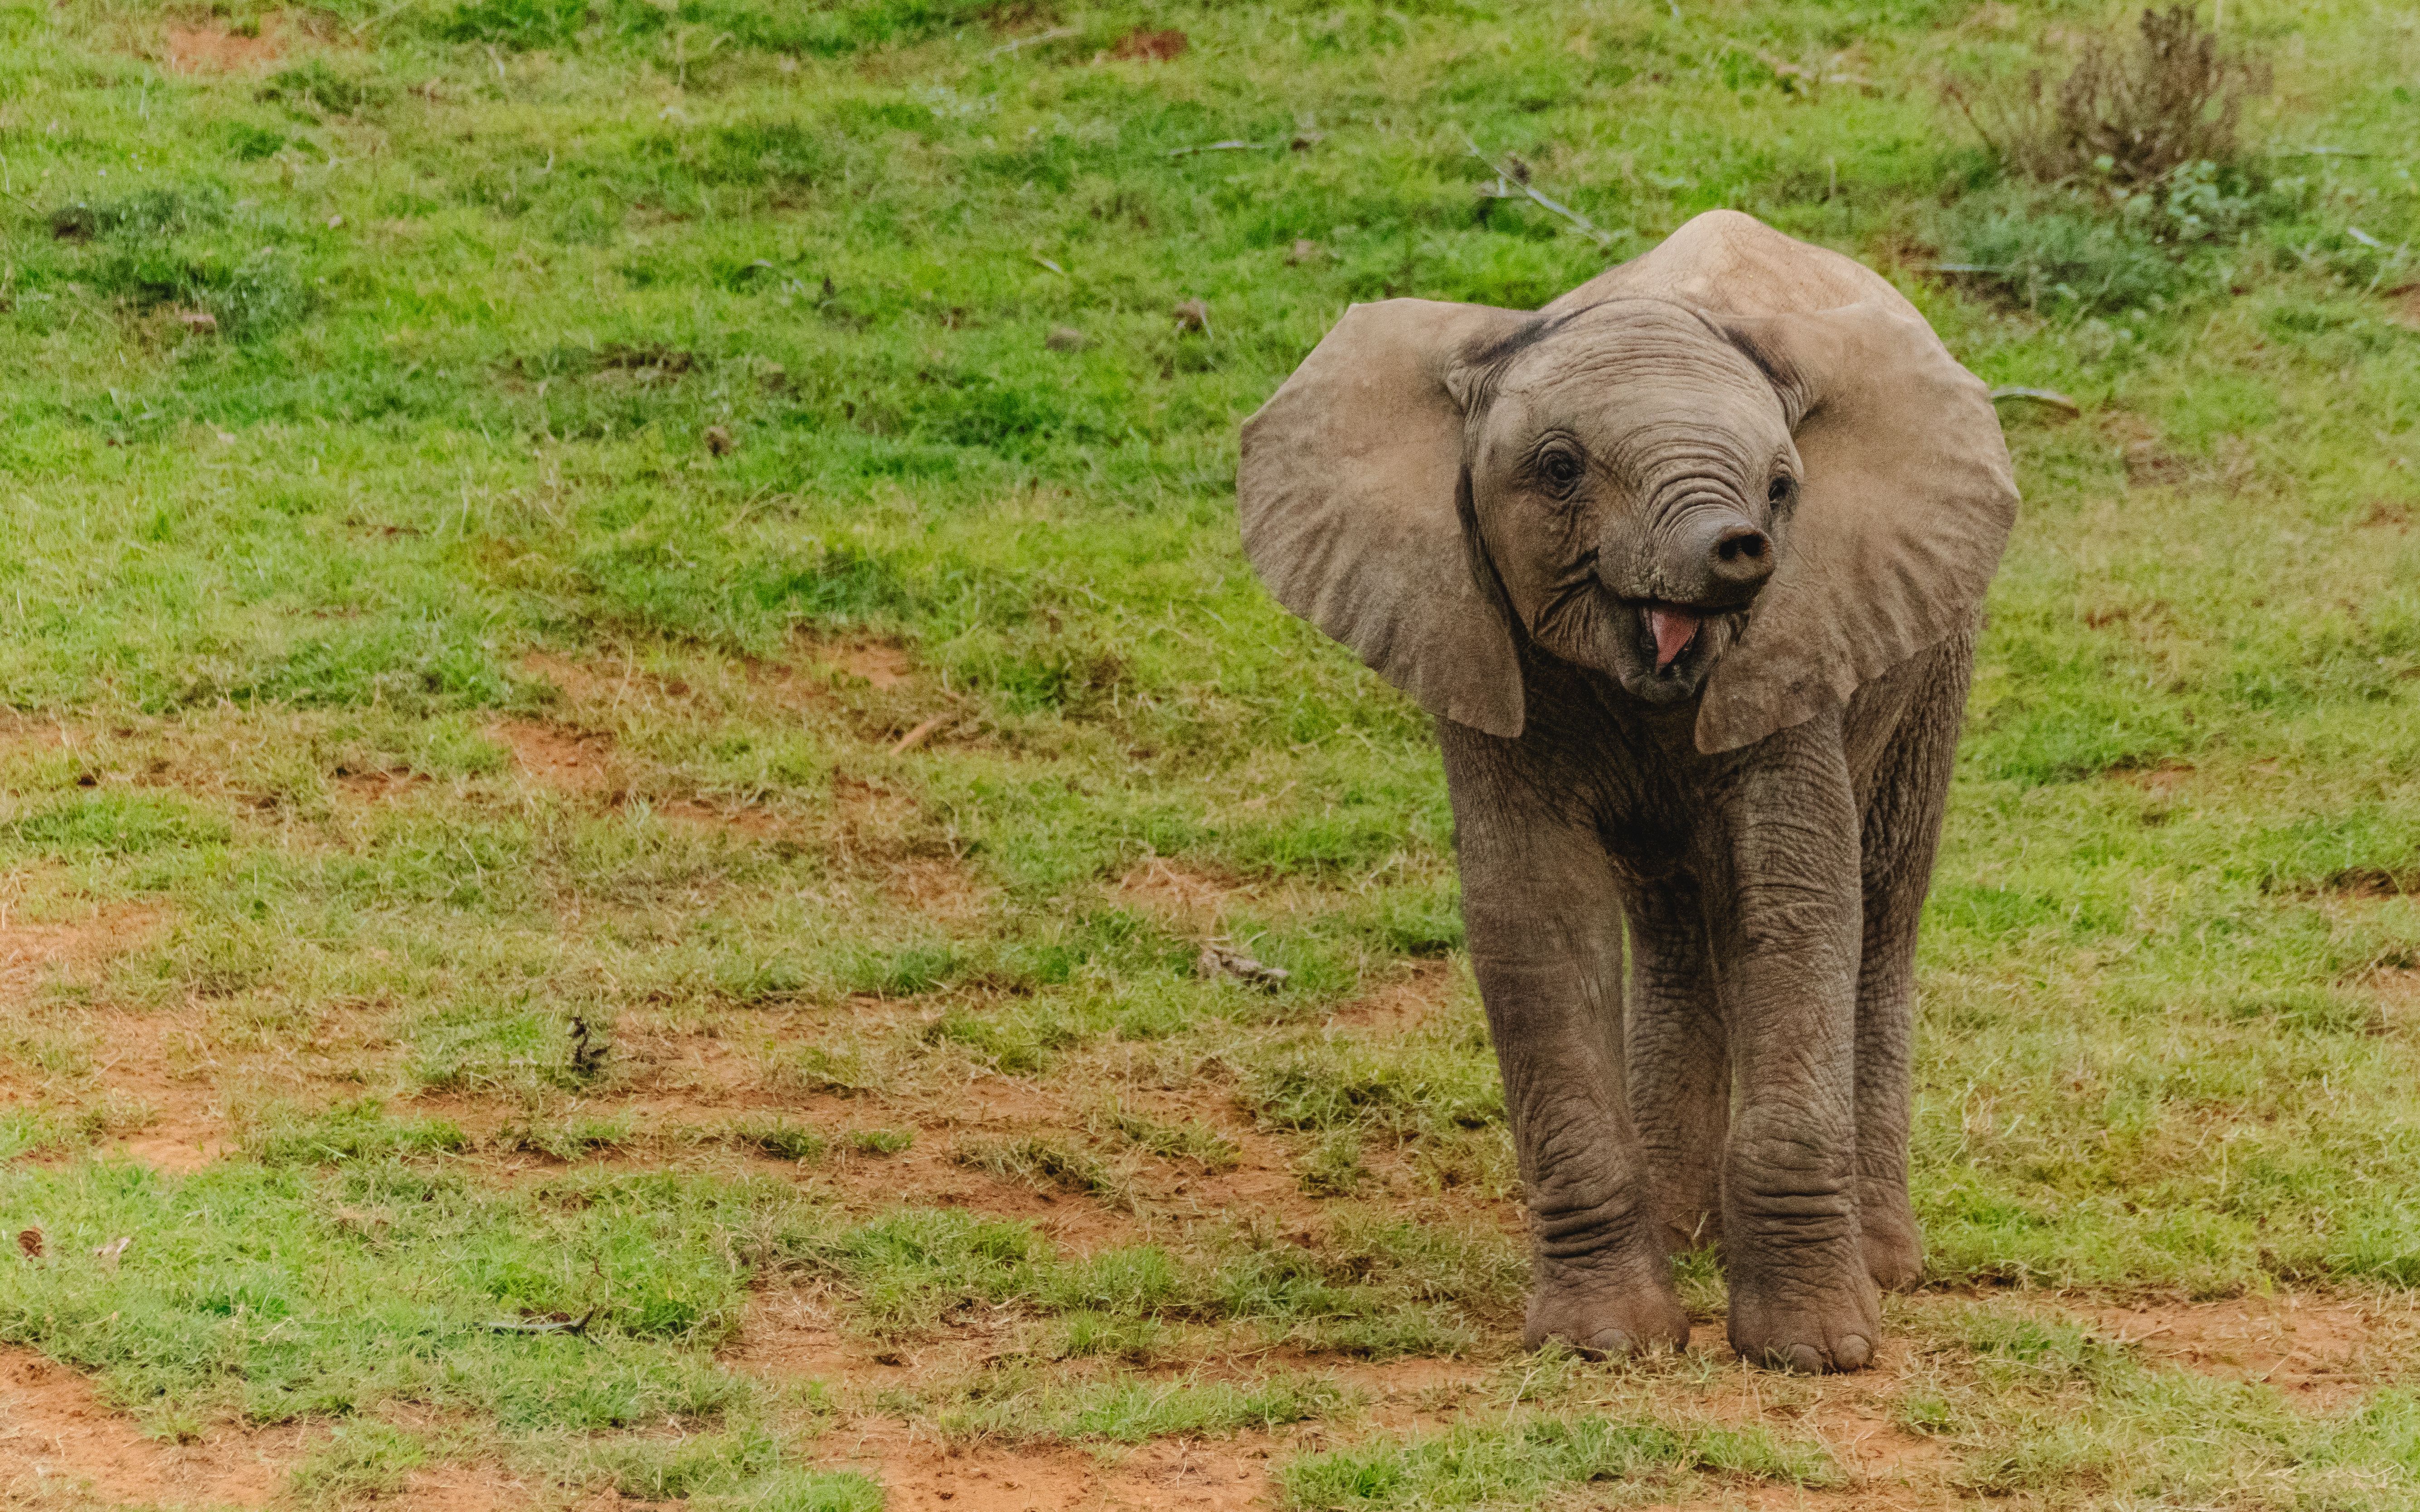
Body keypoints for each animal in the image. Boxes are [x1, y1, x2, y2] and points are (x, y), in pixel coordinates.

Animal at [1235, 211, 2017, 1373]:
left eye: (1782, 489)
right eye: (1558, 469)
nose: (1739, 549)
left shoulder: (1803, 635)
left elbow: (1795, 903)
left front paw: (1814, 1354)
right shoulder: (1477, 632)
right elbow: (1536, 915)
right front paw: (1606, 1343)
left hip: (1936, 637)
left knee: (1882, 904)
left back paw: (1879, 1264)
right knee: (1676, 921)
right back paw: (1687, 1233)